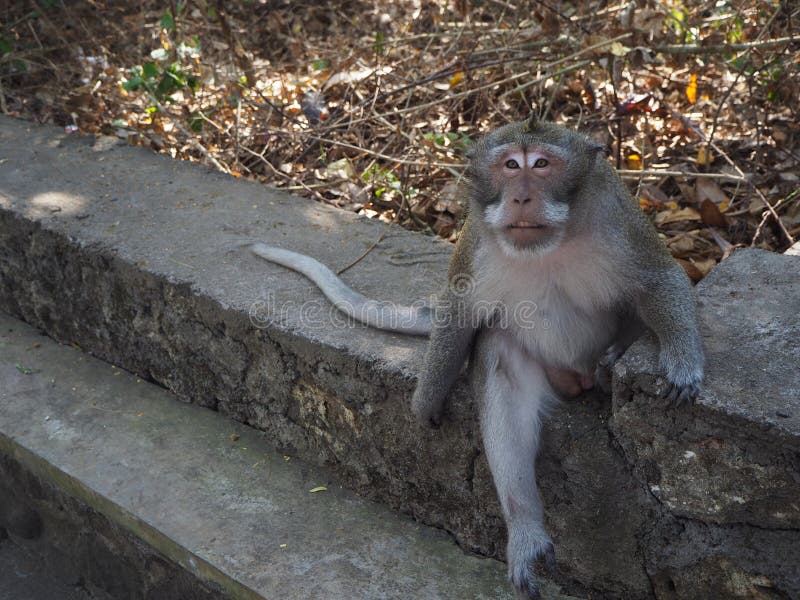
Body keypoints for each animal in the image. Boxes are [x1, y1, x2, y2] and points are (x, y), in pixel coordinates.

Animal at [251, 115, 704, 599]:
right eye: (510, 165)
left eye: (541, 164)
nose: (521, 196)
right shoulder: (475, 241)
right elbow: (461, 311)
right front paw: (427, 398)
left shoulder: (618, 218)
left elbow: (661, 279)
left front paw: (681, 359)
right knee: (497, 352)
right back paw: (525, 529)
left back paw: (614, 354)